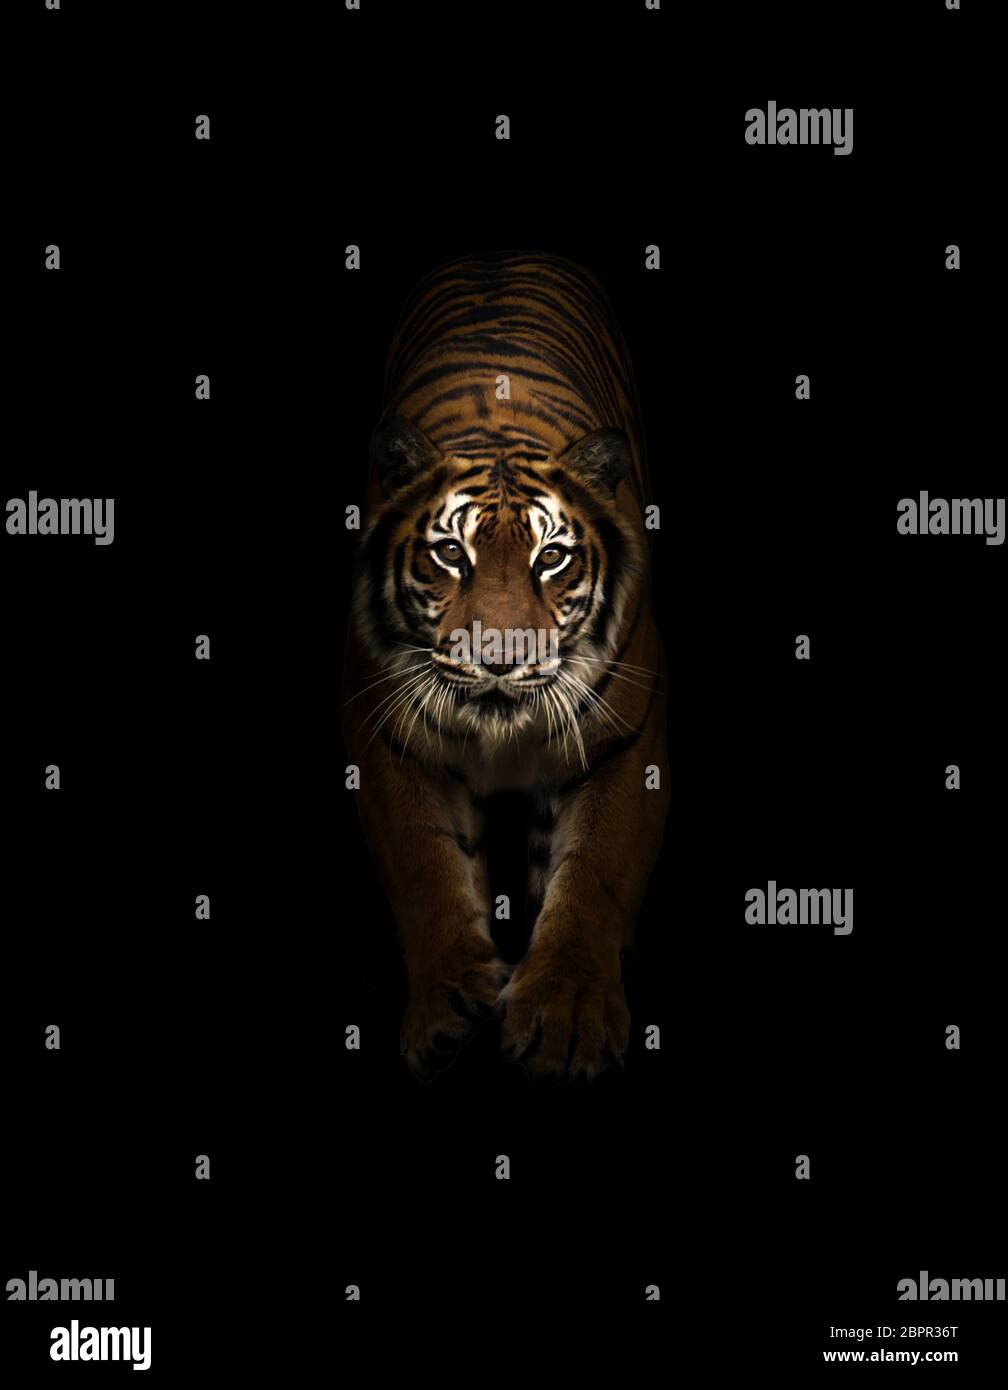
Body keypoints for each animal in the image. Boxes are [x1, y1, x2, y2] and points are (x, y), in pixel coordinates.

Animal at [344, 251, 668, 1081]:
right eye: (448, 555)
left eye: (550, 557)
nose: (498, 658)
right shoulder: (385, 731)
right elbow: (424, 864)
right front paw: (448, 1001)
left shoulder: (625, 738)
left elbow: (594, 870)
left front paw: (566, 1015)